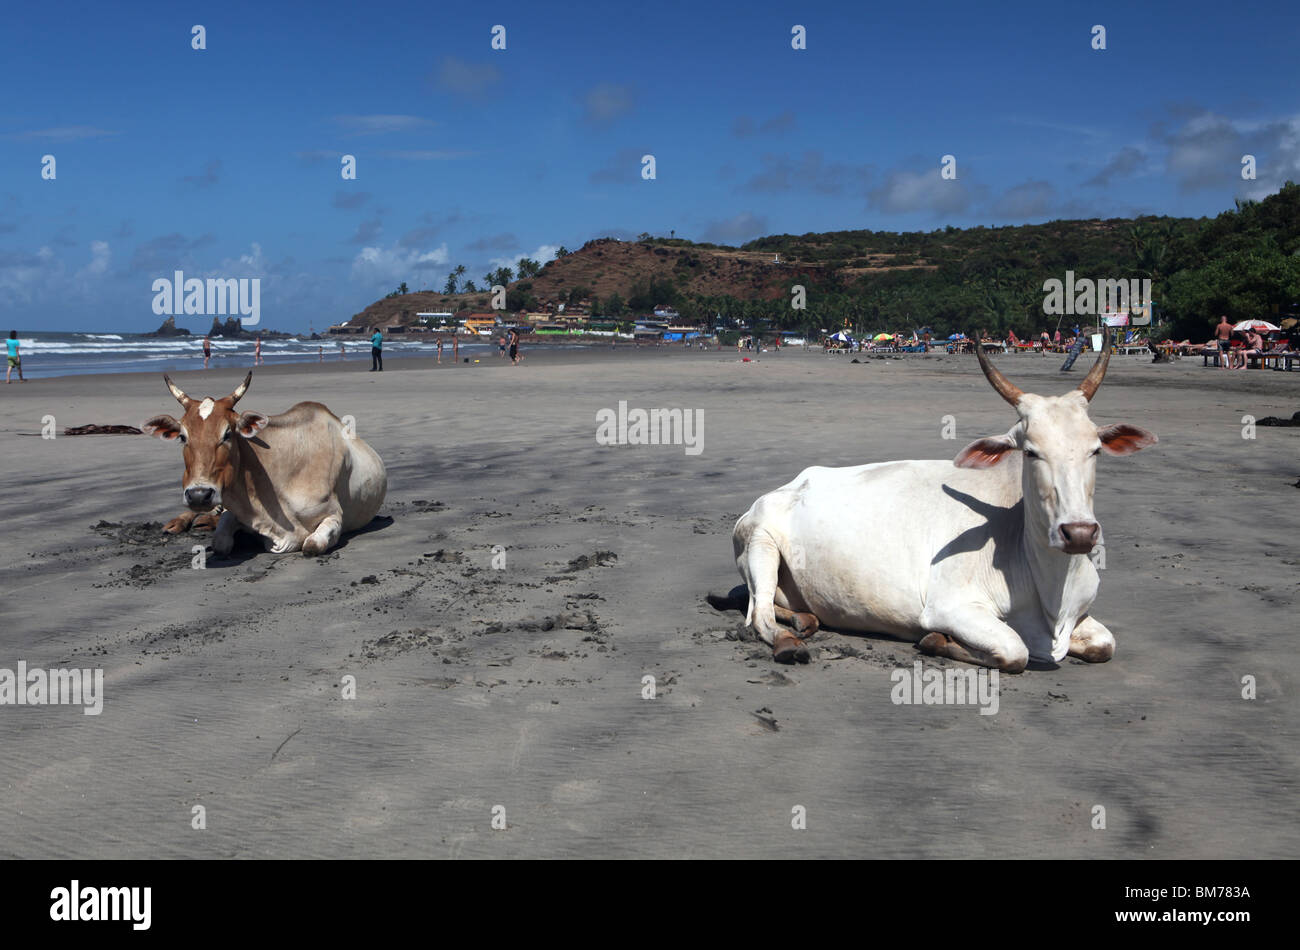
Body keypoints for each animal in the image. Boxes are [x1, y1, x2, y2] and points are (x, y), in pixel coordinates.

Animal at [142, 373, 387, 556]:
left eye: (228, 434)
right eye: (183, 437)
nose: (199, 495)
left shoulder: (333, 515)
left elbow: (311, 545)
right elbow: (221, 542)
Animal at [709, 345, 1157, 670]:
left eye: (1095, 449)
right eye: (1030, 452)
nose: (1079, 533)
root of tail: (790, 484)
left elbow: (1105, 644)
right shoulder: (951, 607)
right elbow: (1014, 652)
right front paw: (937, 641)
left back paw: (805, 620)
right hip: (760, 542)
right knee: (760, 614)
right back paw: (790, 642)